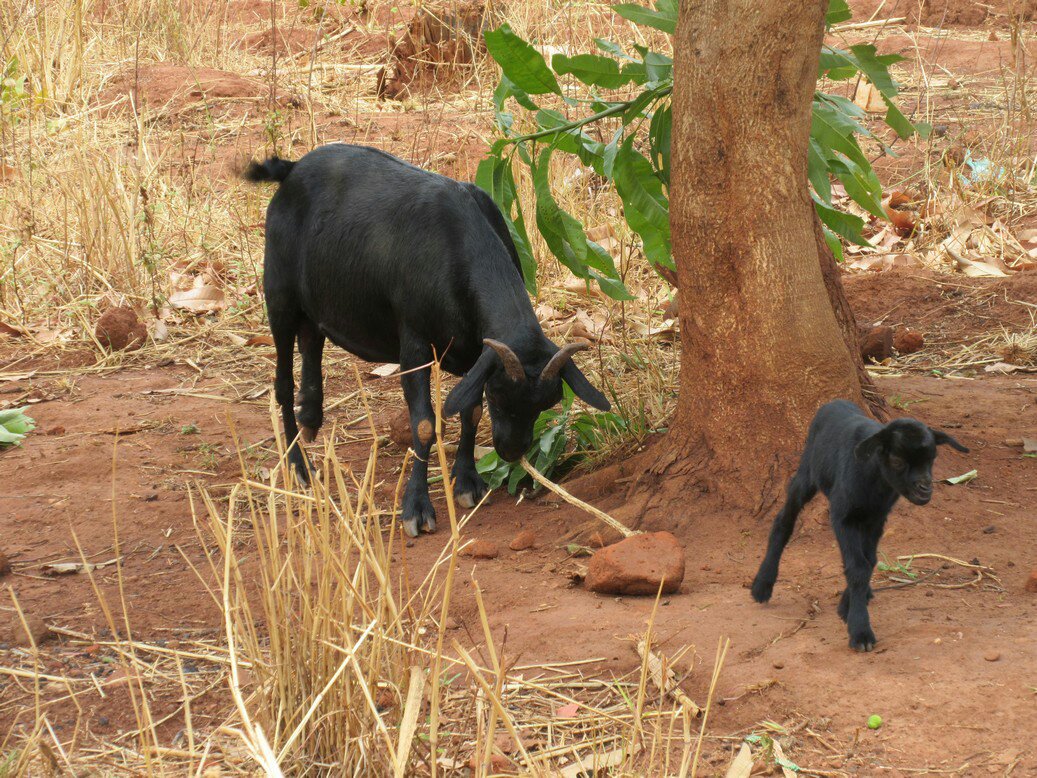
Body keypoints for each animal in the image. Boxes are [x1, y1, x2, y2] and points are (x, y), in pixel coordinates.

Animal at [244, 144, 610, 538]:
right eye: (499, 395)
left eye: (548, 402)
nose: (511, 451)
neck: (458, 247)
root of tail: (292, 168)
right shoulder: (415, 343)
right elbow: (423, 424)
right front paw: (417, 507)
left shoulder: (474, 352)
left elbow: (470, 411)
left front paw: (467, 483)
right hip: (279, 292)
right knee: (282, 378)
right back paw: (298, 465)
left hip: (317, 296)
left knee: (312, 339)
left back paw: (311, 417)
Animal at [750, 399, 968, 652]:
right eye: (897, 461)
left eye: (931, 459)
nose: (925, 489)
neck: (875, 479)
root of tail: (834, 401)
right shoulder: (843, 517)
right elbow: (857, 567)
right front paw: (860, 630)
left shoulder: (877, 518)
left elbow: (869, 561)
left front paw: (848, 605)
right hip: (807, 473)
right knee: (783, 521)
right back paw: (762, 584)